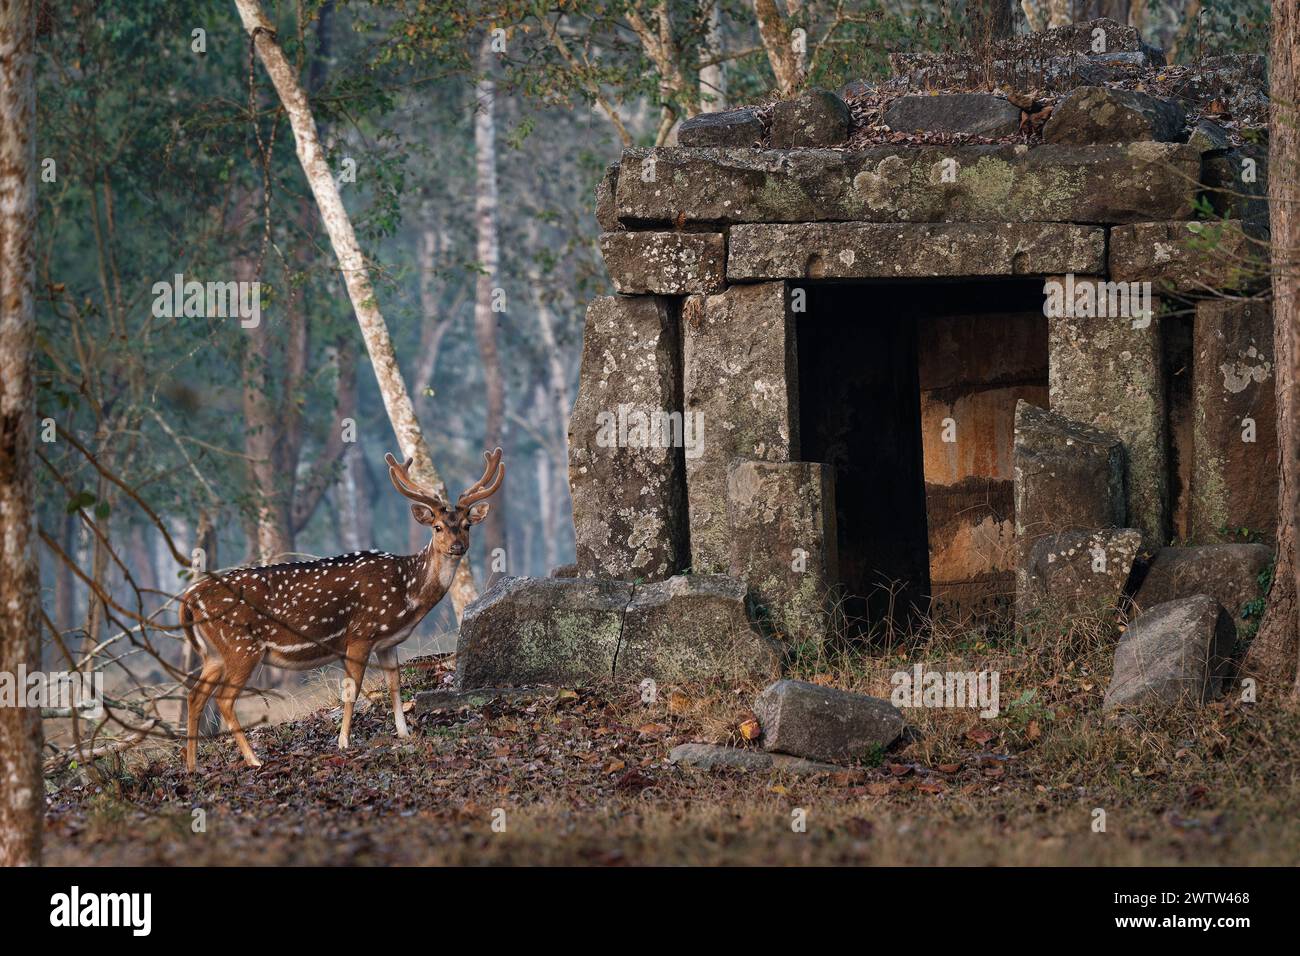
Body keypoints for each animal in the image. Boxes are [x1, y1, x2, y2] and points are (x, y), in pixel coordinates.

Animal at [179, 448, 504, 771]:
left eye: (467, 525)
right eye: (437, 527)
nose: (458, 546)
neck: (407, 593)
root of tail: (190, 597)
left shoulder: (387, 641)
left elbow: (394, 684)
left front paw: (404, 733)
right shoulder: (360, 634)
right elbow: (352, 689)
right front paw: (344, 742)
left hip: (215, 653)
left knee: (195, 695)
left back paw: (192, 766)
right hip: (241, 647)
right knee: (223, 698)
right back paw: (253, 758)